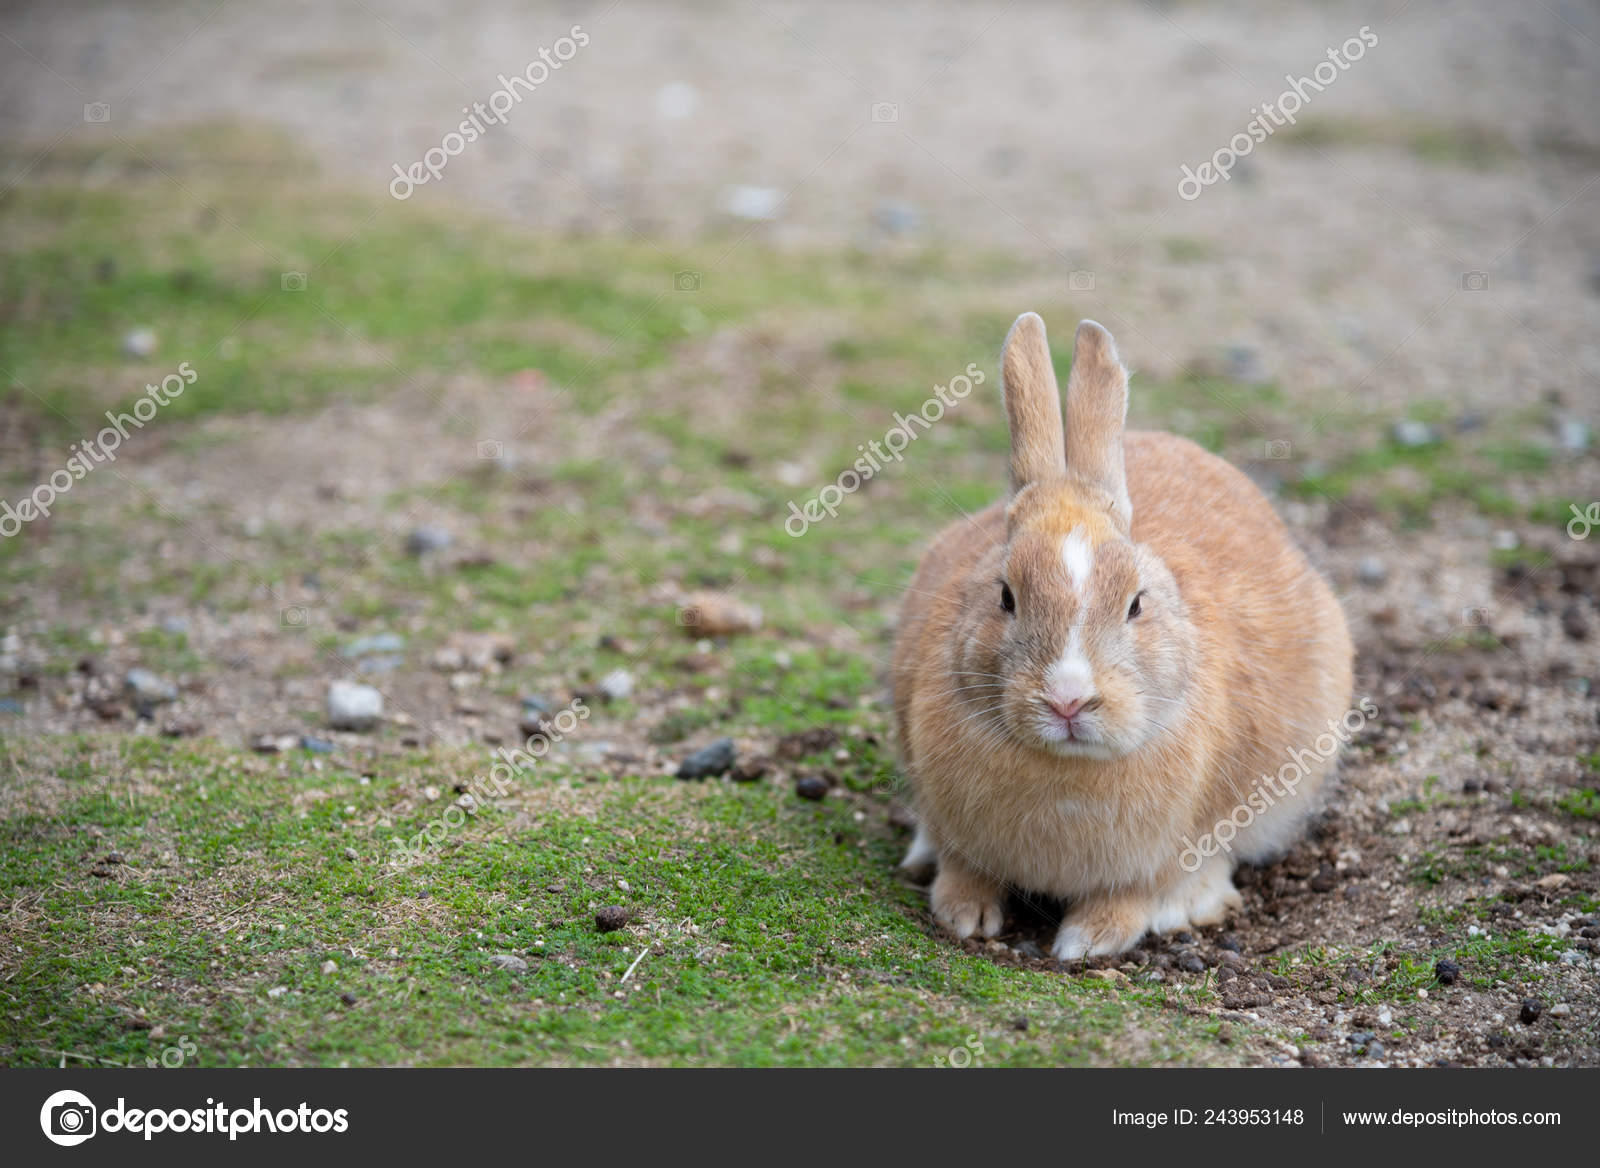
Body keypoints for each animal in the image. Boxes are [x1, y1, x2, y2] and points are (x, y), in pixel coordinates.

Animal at [891, 313, 1354, 959]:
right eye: (1005, 596)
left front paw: (1087, 941)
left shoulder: (1167, 850)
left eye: (1137, 603)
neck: (1066, 766)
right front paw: (964, 914)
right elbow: (966, 866)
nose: (1067, 700)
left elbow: (1137, 891)